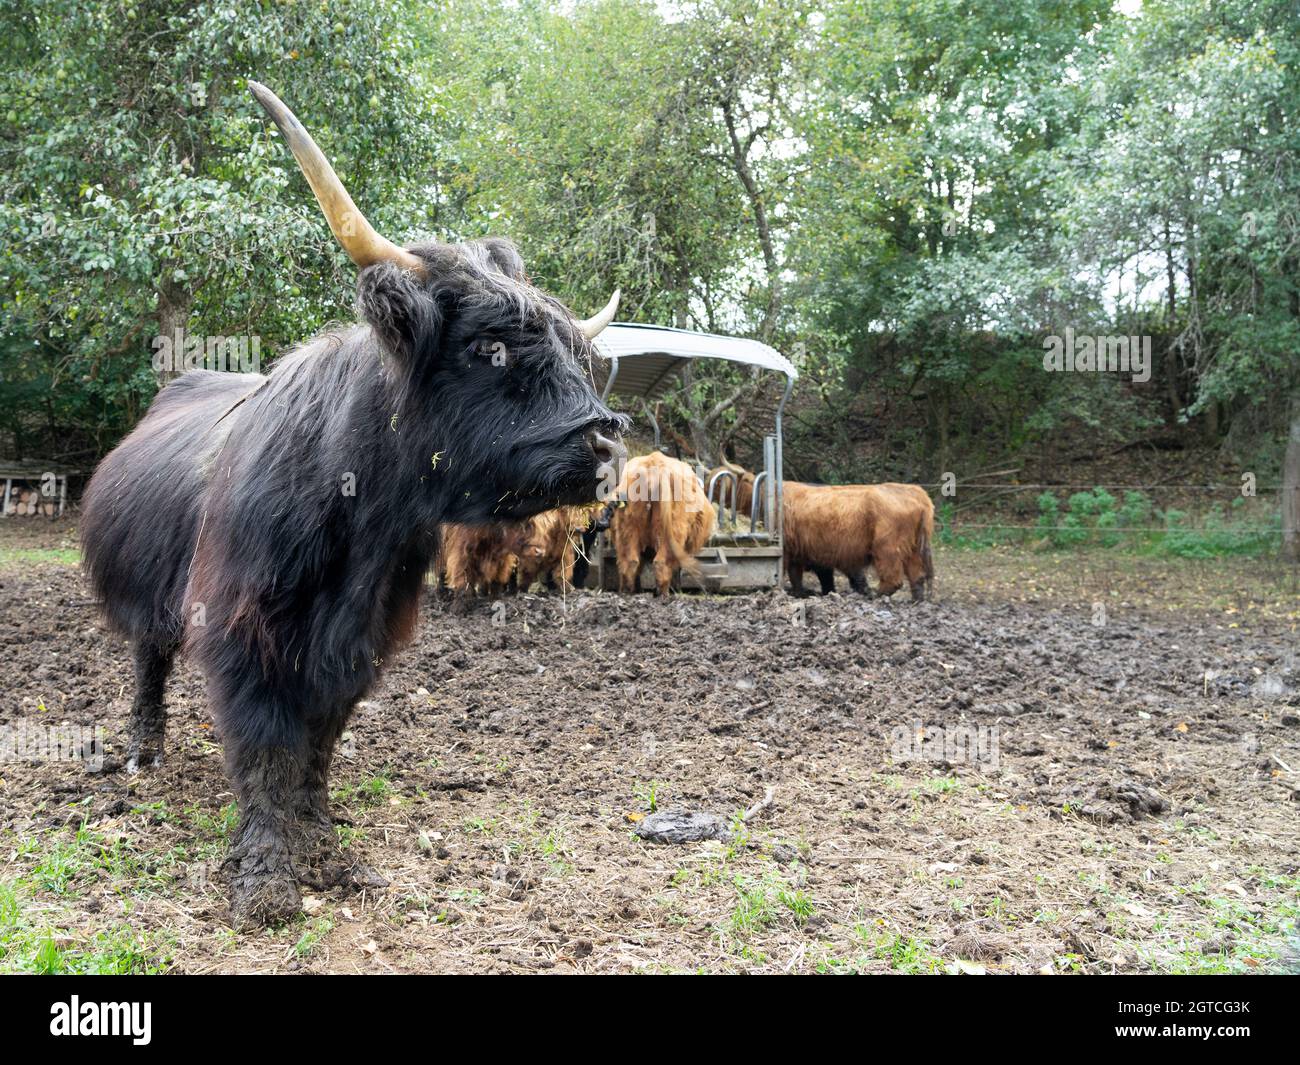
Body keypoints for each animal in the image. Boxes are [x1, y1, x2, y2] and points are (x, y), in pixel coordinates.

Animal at [79, 83, 628, 927]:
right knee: (149, 657)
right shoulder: (240, 627)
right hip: (150, 598)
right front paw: (267, 874)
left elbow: (318, 743)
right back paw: (144, 750)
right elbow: (264, 744)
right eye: (488, 346)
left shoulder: (363, 637)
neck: (358, 527)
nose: (605, 443)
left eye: (575, 350)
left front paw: (324, 843)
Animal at [609, 452, 716, 595]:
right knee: (661, 562)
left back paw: (628, 591)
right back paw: (663, 594)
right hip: (672, 530)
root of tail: (654, 461)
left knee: (630, 561)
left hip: (628, 528)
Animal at [712, 462, 933, 600]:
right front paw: (802, 593)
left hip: (887, 547)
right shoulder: (807, 553)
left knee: (893, 579)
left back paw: (875, 597)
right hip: (913, 547)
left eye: (718, 484)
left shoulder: (793, 551)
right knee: (917, 577)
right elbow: (802, 578)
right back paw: (917, 601)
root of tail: (917, 492)